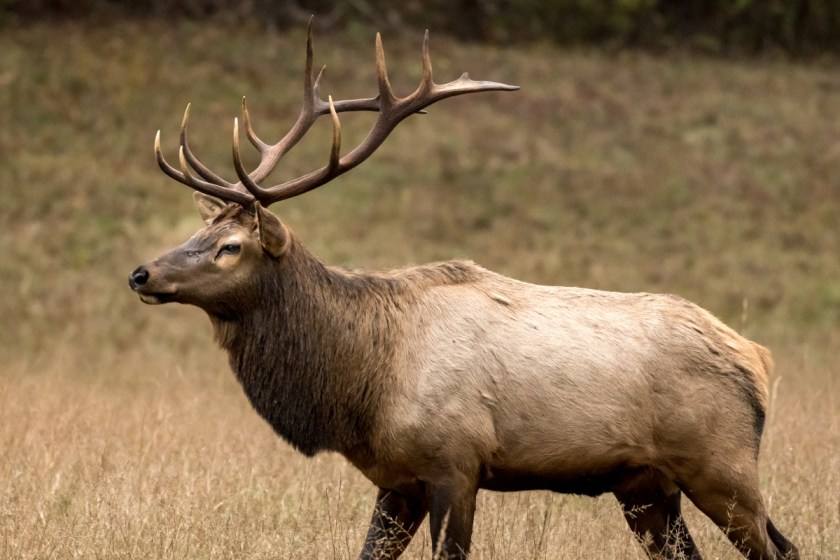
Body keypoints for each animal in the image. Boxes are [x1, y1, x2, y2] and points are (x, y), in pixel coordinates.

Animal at [128, 21, 799, 560]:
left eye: (230, 247)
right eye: (196, 230)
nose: (141, 274)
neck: (360, 383)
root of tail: (757, 357)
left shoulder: (455, 462)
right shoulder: (396, 480)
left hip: (722, 464)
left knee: (778, 549)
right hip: (645, 486)